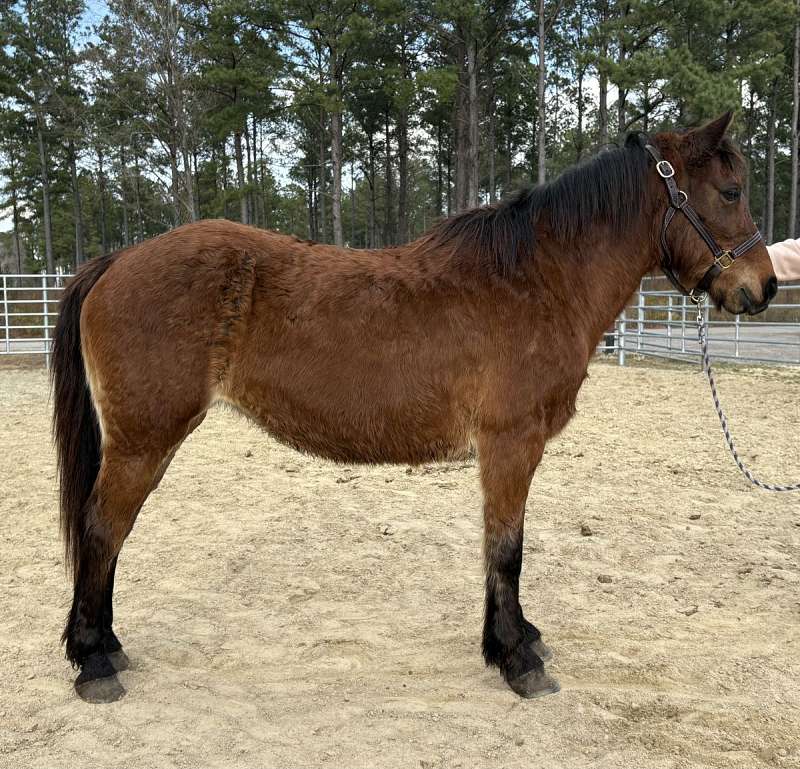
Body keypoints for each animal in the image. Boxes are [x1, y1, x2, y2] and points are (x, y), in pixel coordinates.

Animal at [51, 112, 777, 703]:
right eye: (731, 192)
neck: (536, 279)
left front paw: (514, 641)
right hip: (145, 439)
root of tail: (118, 259)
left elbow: (500, 547)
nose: (765, 287)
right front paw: (518, 661)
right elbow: (507, 550)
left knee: (109, 533)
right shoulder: (510, 444)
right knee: (103, 530)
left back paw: (108, 647)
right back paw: (95, 664)